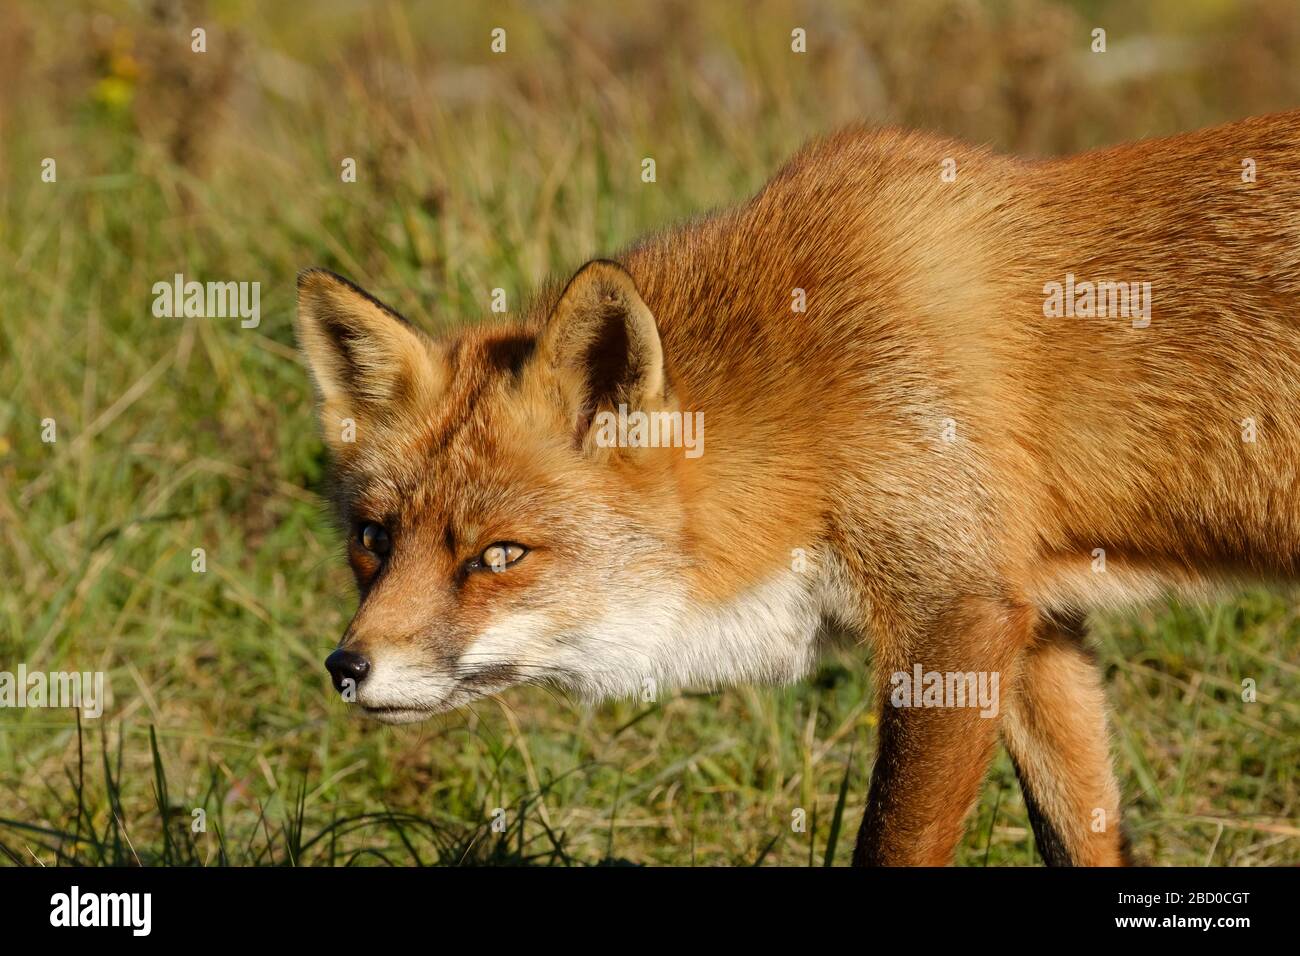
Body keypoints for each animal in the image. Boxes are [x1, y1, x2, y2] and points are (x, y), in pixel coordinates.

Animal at [296, 110, 1300, 867]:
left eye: (500, 555)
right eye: (374, 541)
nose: (347, 667)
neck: (814, 397)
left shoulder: (954, 615)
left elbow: (893, 846)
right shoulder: (1034, 620)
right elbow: (1079, 831)